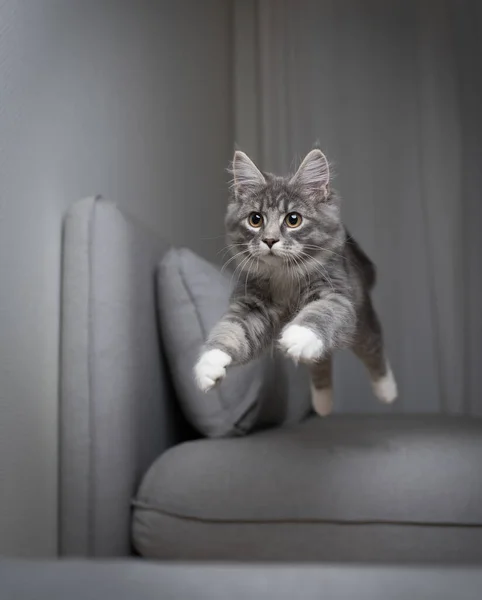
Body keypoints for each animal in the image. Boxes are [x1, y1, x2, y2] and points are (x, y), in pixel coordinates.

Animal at [194, 148, 398, 414]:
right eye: (255, 219)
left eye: (293, 220)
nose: (270, 240)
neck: (284, 278)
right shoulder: (250, 307)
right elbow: (230, 330)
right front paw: (209, 364)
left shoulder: (336, 297)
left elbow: (319, 313)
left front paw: (298, 334)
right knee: (319, 360)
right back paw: (323, 403)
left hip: (362, 323)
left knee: (373, 350)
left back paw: (387, 391)